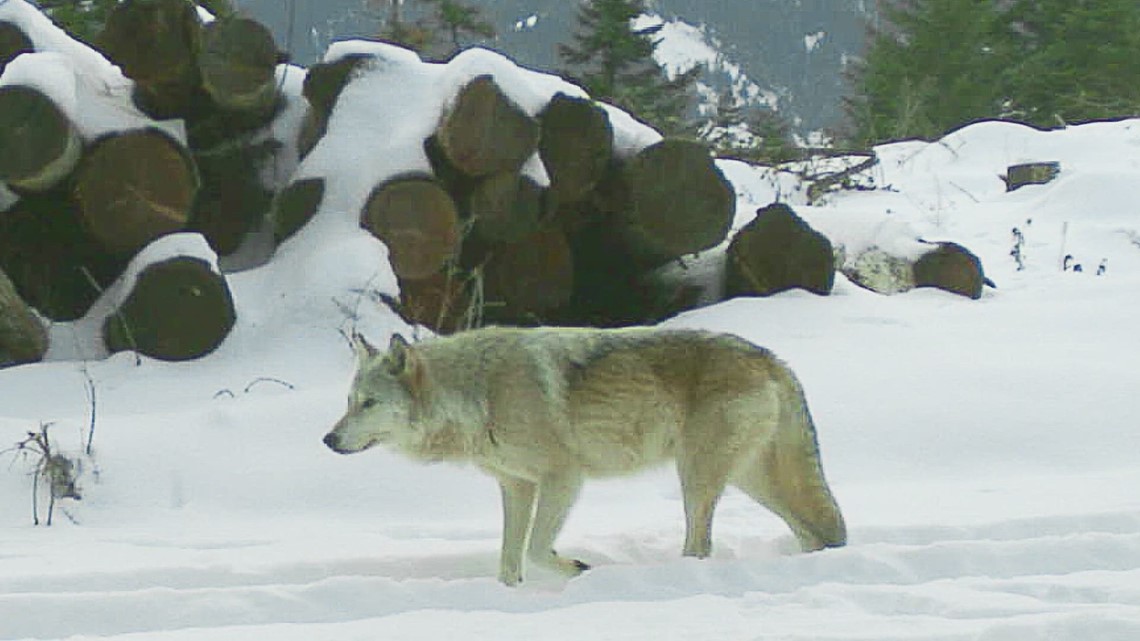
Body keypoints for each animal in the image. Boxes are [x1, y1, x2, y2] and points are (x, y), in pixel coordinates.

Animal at [323, 326, 846, 585]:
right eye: (349, 402)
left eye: (368, 403)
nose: (328, 440)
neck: (479, 393)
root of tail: (770, 358)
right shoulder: (516, 485)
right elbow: (508, 562)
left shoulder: (563, 478)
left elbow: (536, 549)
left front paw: (578, 569)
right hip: (750, 480)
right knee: (813, 532)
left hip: (697, 478)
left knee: (701, 545)